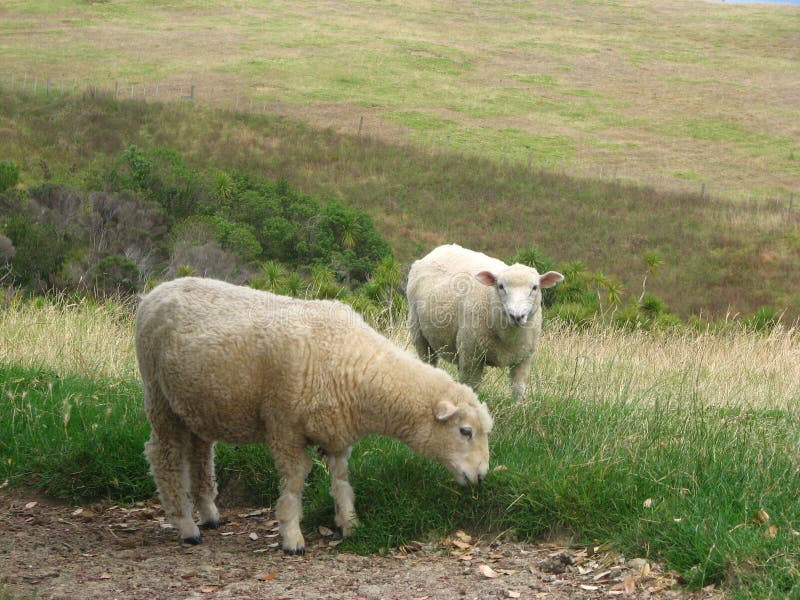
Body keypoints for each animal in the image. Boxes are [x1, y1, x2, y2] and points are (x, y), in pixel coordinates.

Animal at [135, 276, 493, 555]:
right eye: (465, 431)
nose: (481, 476)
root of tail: (156, 291)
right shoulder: (284, 427)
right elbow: (294, 483)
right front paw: (291, 536)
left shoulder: (336, 433)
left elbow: (341, 481)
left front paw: (350, 524)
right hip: (159, 395)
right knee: (163, 456)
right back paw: (185, 525)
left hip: (197, 405)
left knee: (199, 453)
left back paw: (209, 513)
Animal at [406, 244, 564, 402]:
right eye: (501, 286)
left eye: (534, 287)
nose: (517, 316)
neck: (508, 337)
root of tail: (439, 249)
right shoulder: (471, 355)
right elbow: (472, 385)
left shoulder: (524, 358)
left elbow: (518, 389)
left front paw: (518, 407)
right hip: (419, 332)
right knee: (428, 361)